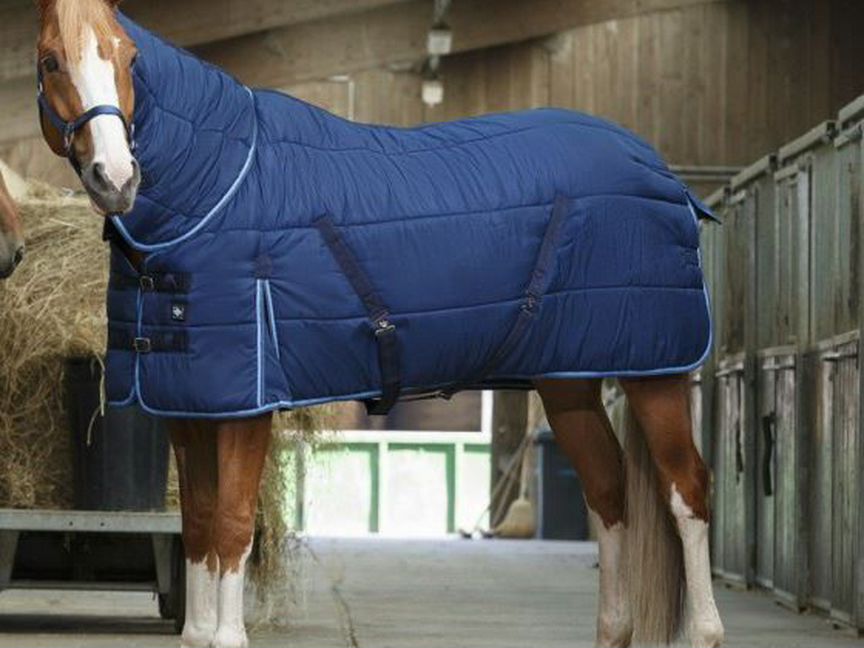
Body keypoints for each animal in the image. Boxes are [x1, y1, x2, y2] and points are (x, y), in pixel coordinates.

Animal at [35, 1, 724, 647]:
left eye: (128, 58)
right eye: (51, 62)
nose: (116, 178)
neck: (218, 190)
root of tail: (662, 173)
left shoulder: (245, 411)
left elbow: (231, 526)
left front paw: (227, 633)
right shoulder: (188, 408)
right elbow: (199, 528)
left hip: (654, 372)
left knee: (686, 489)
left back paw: (706, 629)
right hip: (570, 381)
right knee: (609, 493)